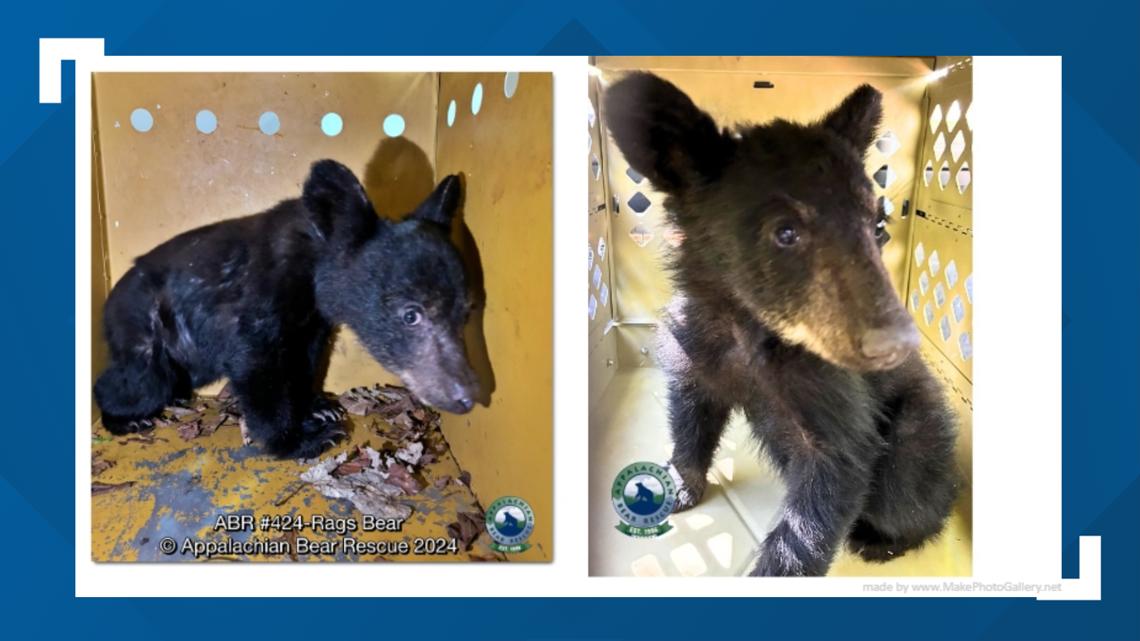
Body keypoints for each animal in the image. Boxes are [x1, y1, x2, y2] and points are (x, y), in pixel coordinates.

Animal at [94, 159, 480, 459]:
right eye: (411, 314)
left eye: (465, 312)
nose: (466, 397)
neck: (312, 271)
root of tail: (110, 302)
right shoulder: (261, 299)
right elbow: (255, 366)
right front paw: (299, 440)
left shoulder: (309, 321)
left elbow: (303, 359)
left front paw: (319, 408)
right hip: (148, 332)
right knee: (138, 381)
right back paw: (128, 418)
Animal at [603, 72, 959, 576]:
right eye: (785, 232)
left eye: (876, 227)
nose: (900, 344)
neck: (747, 328)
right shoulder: (695, 348)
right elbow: (690, 417)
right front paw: (679, 485)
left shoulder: (832, 392)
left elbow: (824, 492)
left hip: (915, 438)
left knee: (911, 498)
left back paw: (881, 540)